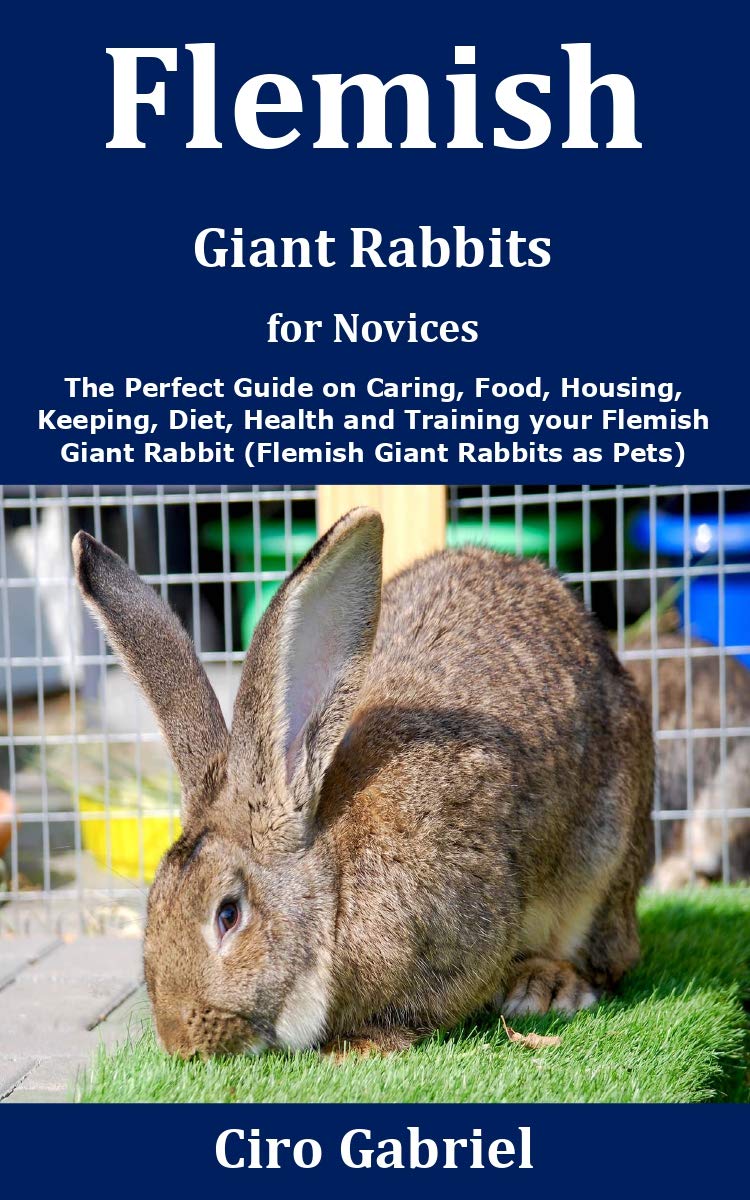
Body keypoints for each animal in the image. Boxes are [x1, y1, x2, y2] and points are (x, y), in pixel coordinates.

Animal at [72, 508, 653, 1059]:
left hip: (603, 863)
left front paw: (355, 1049)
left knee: (610, 957)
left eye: (228, 915)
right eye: (153, 906)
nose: (180, 1043)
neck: (334, 887)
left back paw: (547, 987)